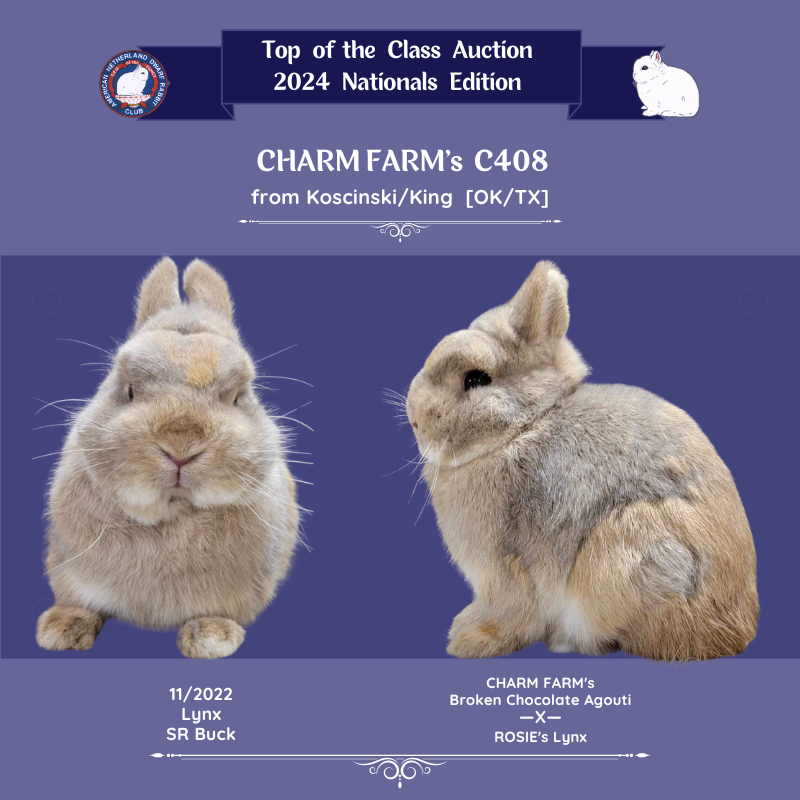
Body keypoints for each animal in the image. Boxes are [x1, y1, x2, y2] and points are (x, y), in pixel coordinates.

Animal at [36, 258, 300, 658]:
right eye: (128, 390)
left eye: (238, 397)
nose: (180, 447)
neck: (173, 511)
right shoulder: (70, 569)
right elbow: (78, 599)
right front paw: (60, 630)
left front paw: (211, 638)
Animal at [405, 261, 758, 661]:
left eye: (476, 379)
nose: (414, 419)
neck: (523, 429)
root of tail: (733, 632)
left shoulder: (505, 571)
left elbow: (511, 615)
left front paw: (468, 641)